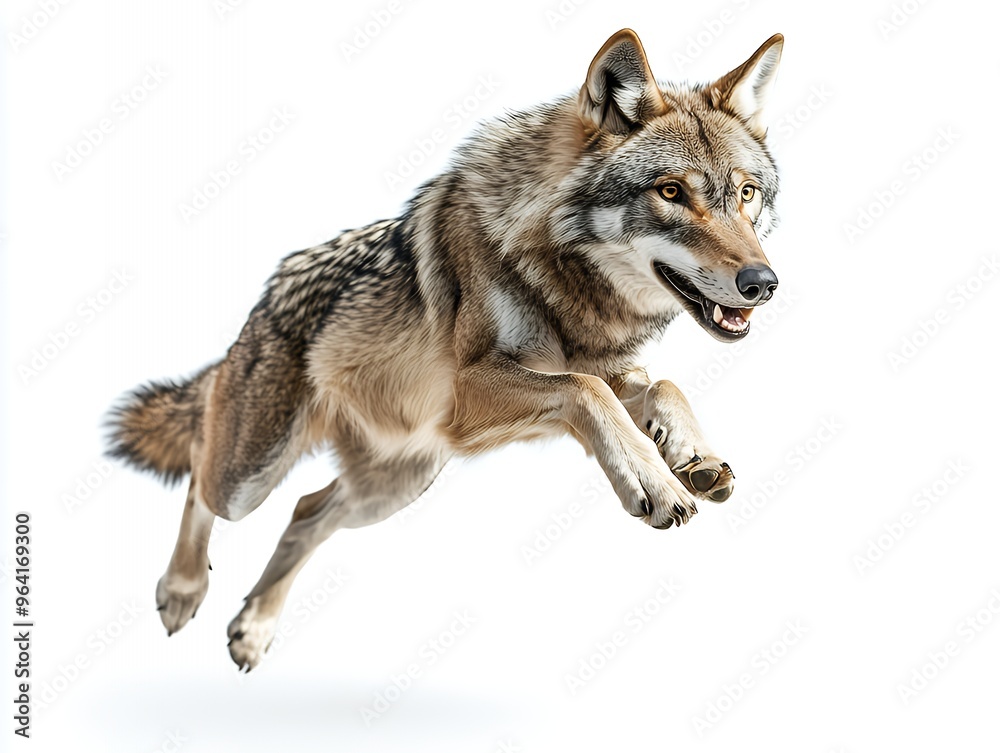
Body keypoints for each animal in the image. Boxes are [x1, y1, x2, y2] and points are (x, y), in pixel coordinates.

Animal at [108, 29, 784, 670]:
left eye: (746, 193)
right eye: (671, 192)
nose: (763, 283)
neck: (564, 280)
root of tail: (261, 301)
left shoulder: (590, 373)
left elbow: (661, 385)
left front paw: (693, 455)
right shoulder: (471, 393)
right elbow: (588, 391)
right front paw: (653, 479)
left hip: (393, 485)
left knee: (303, 512)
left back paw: (254, 629)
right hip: (251, 476)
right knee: (200, 472)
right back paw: (182, 591)